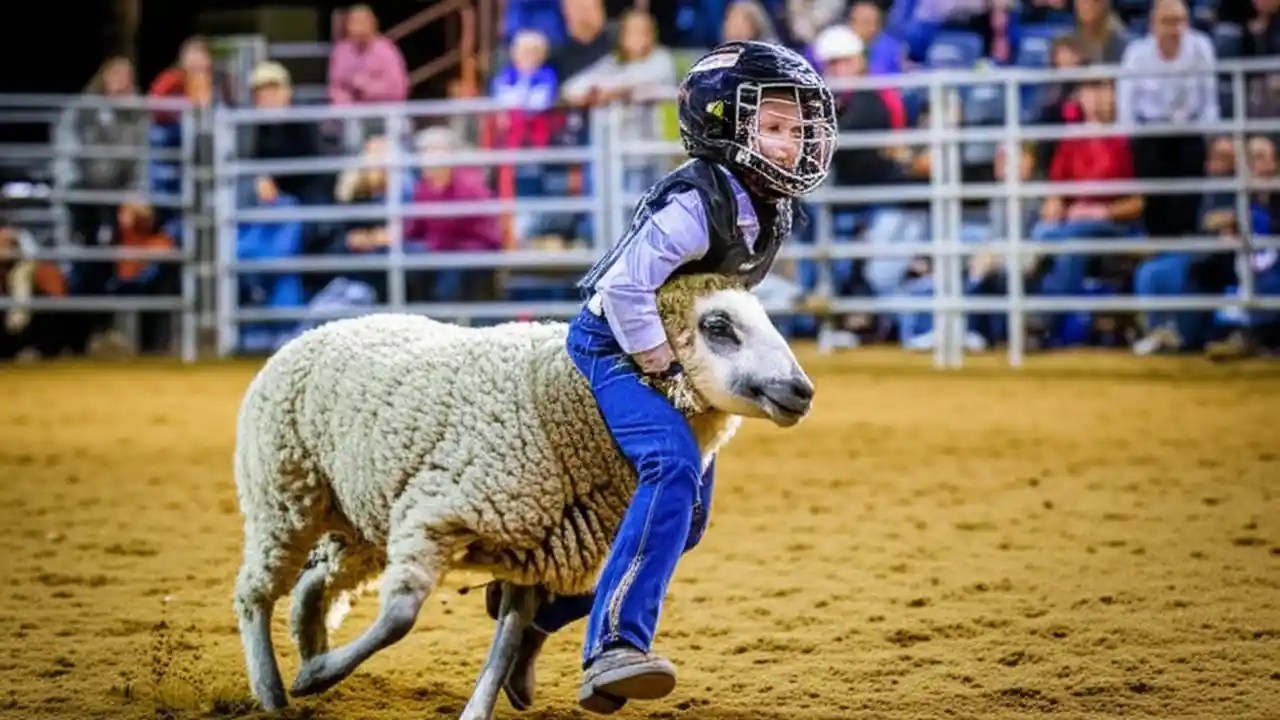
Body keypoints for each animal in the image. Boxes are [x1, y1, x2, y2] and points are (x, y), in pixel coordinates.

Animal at [230, 272, 816, 715]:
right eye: (718, 325)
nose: (802, 390)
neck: (567, 397)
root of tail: (315, 329)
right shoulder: (435, 515)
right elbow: (400, 618)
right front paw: (316, 677)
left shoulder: (535, 552)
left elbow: (507, 640)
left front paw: (476, 707)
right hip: (281, 495)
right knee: (254, 593)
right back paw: (275, 689)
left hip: (353, 521)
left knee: (312, 584)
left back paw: (308, 649)